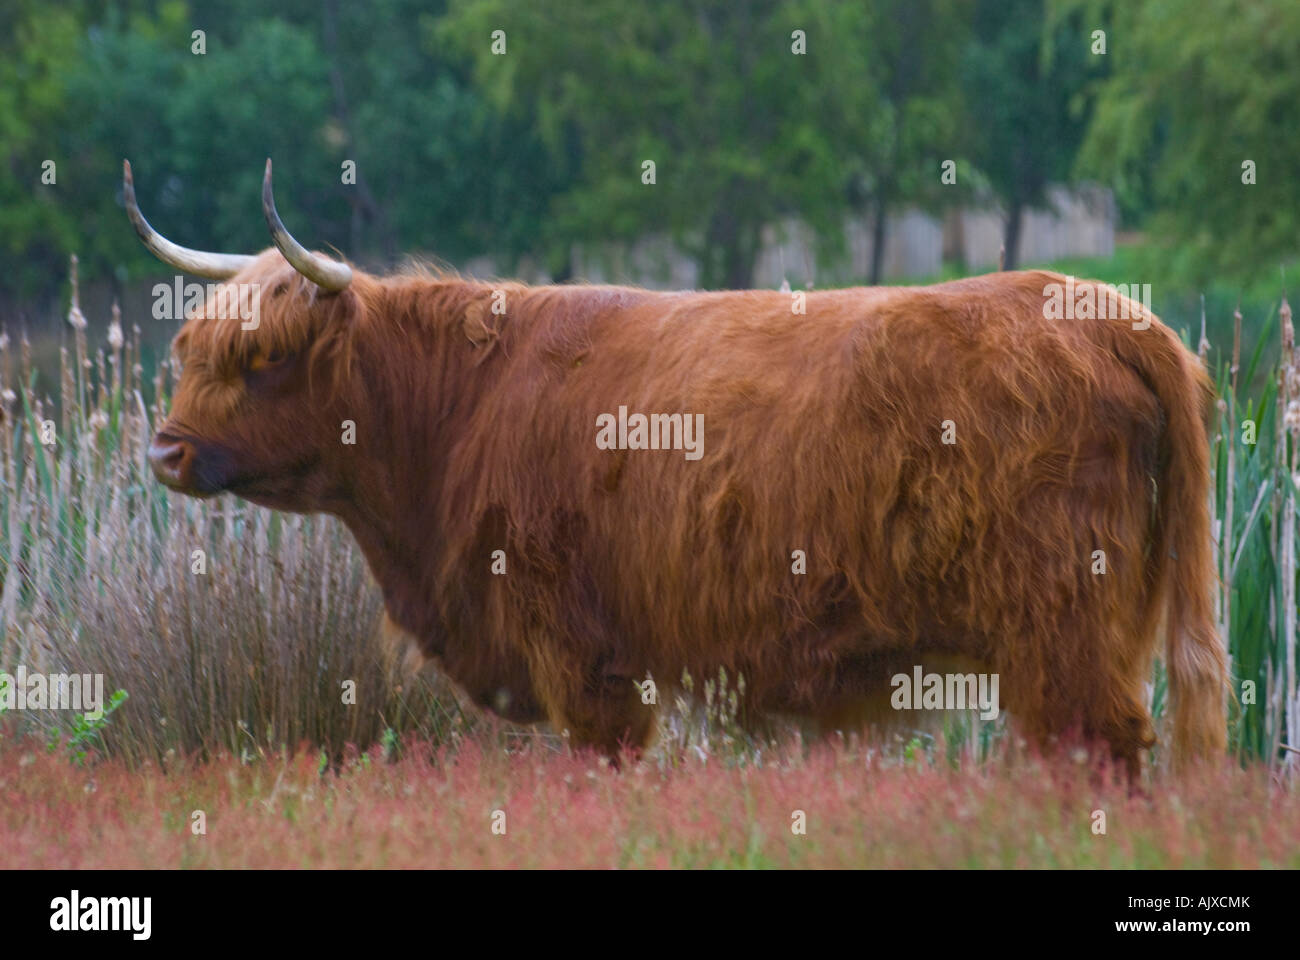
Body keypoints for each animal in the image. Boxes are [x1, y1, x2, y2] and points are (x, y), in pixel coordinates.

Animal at [125, 159, 1227, 775]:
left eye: (263, 359)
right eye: (188, 352)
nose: (166, 451)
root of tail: (1104, 309)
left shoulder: (581, 655)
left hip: (1059, 624)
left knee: (1100, 750)